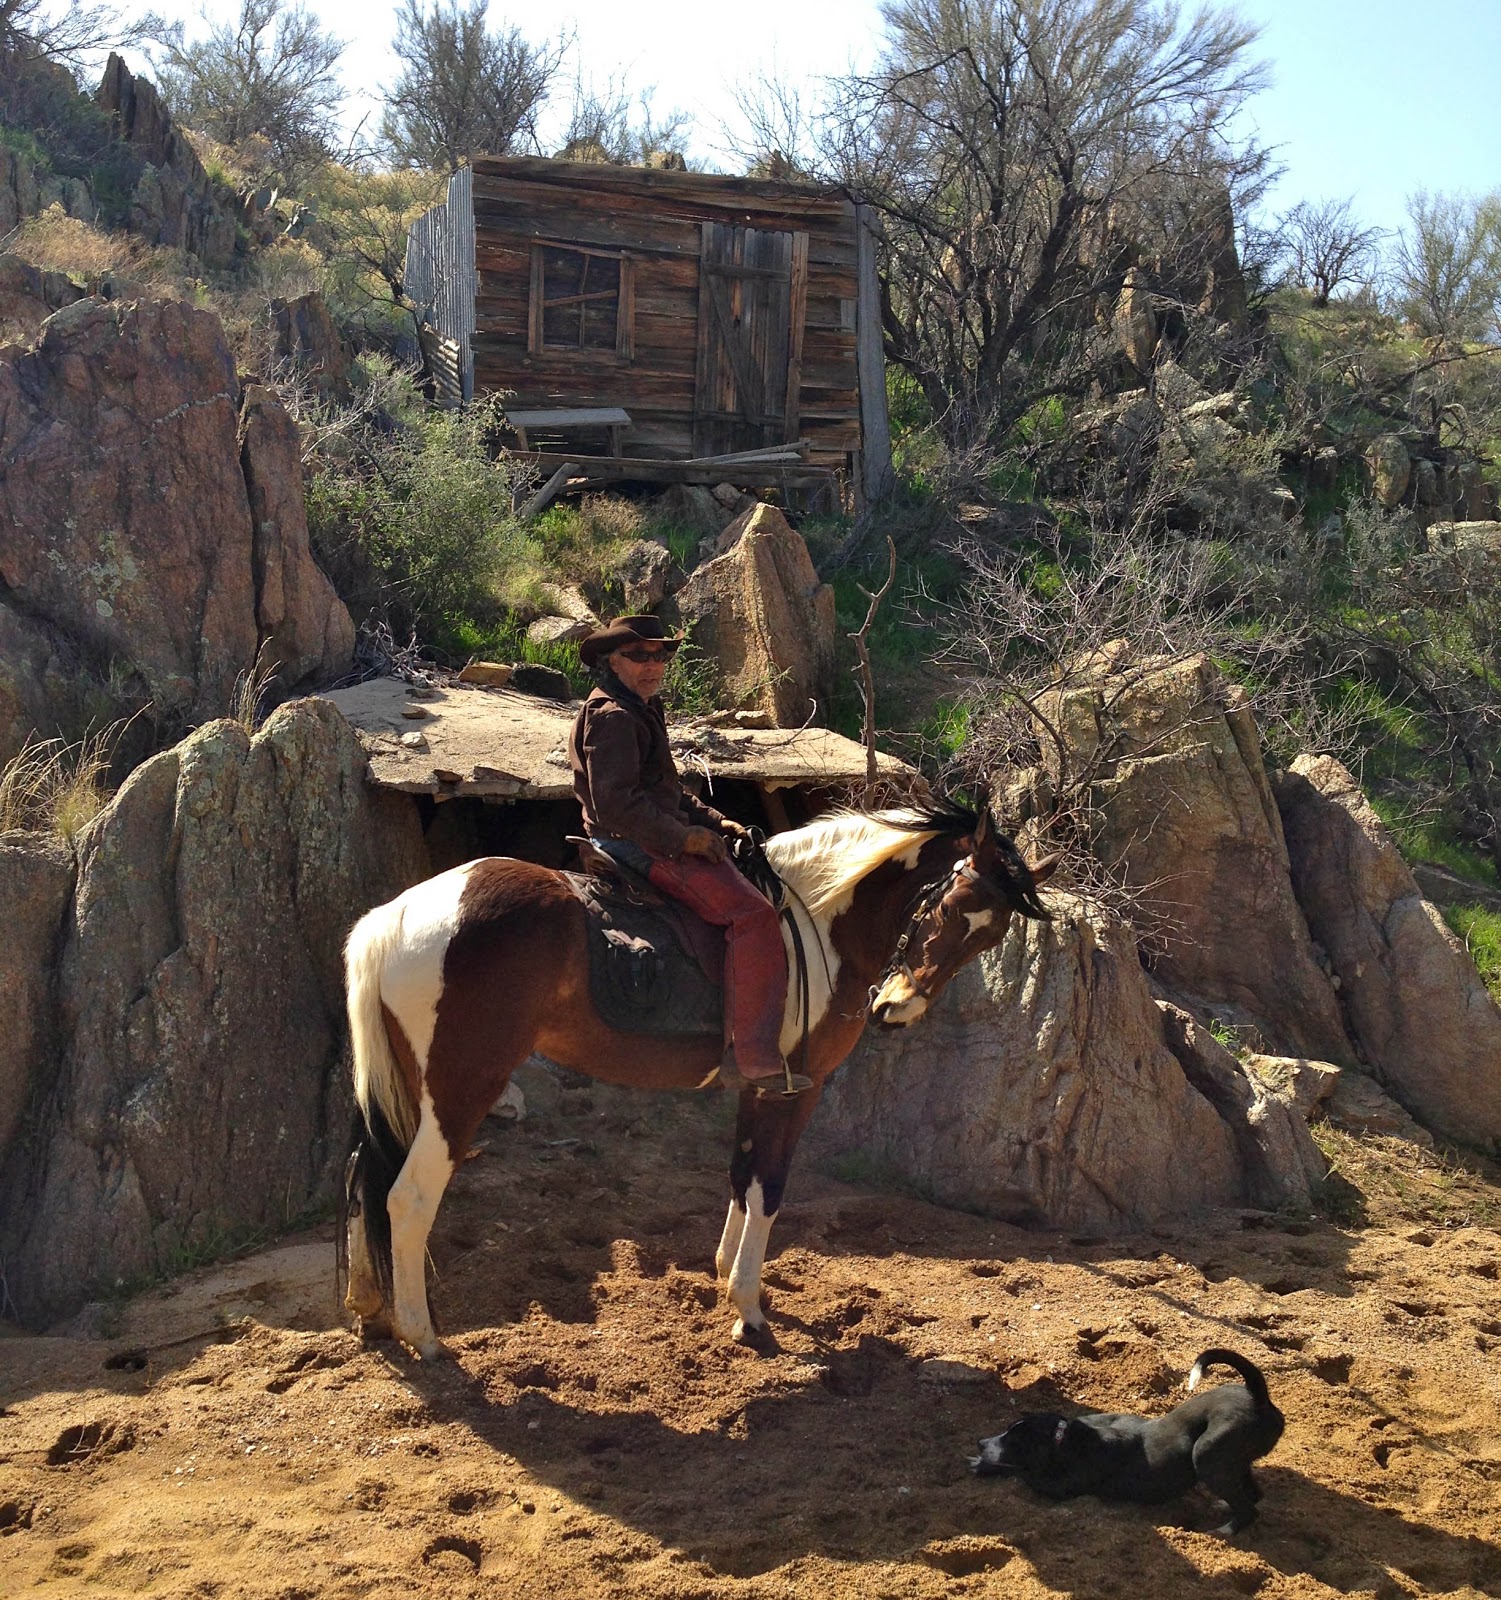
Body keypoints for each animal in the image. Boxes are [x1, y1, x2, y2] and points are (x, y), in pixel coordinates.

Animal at [342, 798, 1058, 1359]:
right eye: (955, 907)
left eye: (990, 936)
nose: (900, 1009)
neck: (818, 926)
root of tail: (397, 916)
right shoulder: (796, 1091)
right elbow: (770, 1187)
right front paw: (749, 1310)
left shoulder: (757, 1087)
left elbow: (740, 1176)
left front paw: (722, 1275)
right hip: (458, 1092)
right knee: (407, 1198)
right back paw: (422, 1335)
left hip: (410, 1091)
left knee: (361, 1177)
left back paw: (369, 1310)